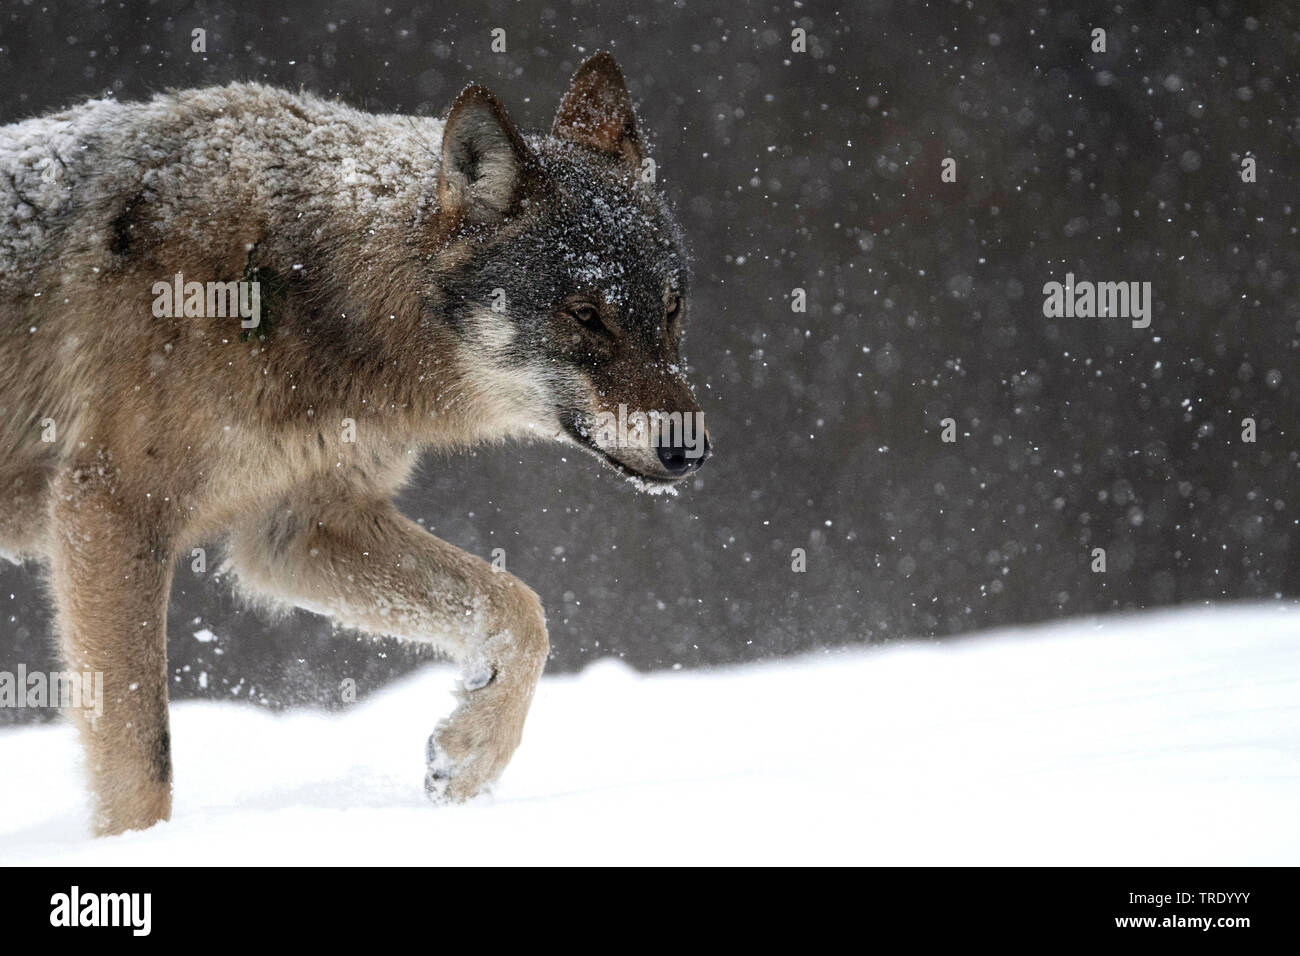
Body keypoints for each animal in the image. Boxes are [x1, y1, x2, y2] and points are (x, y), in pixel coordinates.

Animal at [0, 52, 709, 835]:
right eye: (586, 315)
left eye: (671, 309)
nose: (689, 448)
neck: (293, 280)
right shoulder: (109, 511)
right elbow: (140, 756)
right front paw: (142, 846)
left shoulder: (298, 528)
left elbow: (521, 609)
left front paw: (467, 759)